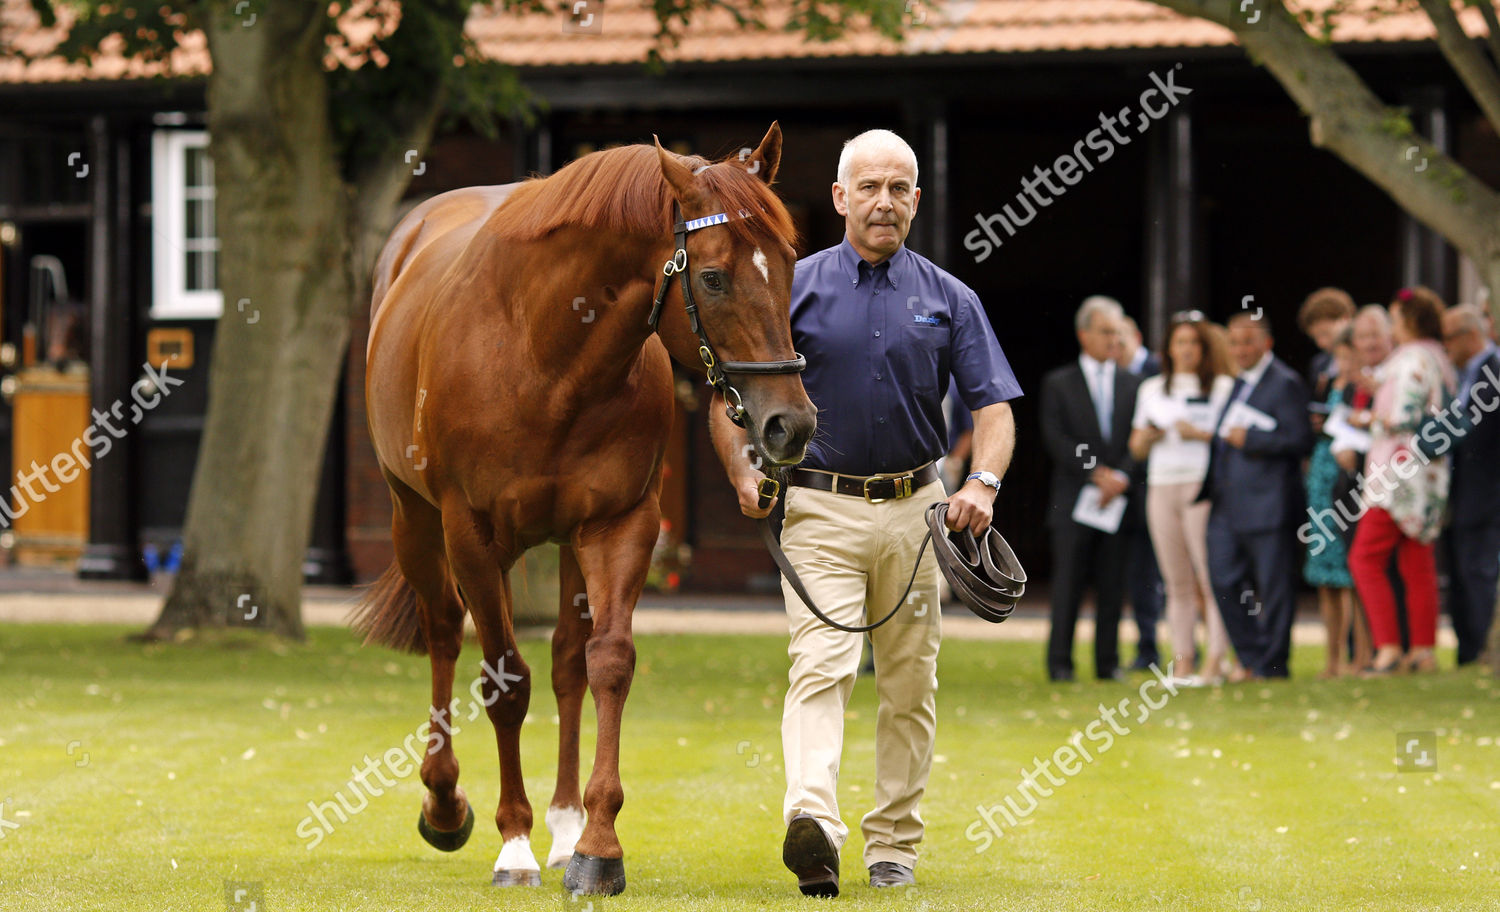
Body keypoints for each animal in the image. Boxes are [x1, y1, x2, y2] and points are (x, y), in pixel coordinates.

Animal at [353, 123, 816, 895]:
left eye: (788, 262)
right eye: (714, 277)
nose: (790, 425)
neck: (543, 354)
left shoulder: (620, 524)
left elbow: (607, 663)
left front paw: (598, 843)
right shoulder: (468, 532)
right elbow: (504, 679)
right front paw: (512, 843)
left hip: (564, 540)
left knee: (568, 661)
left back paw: (566, 827)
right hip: (414, 519)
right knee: (444, 631)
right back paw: (445, 802)